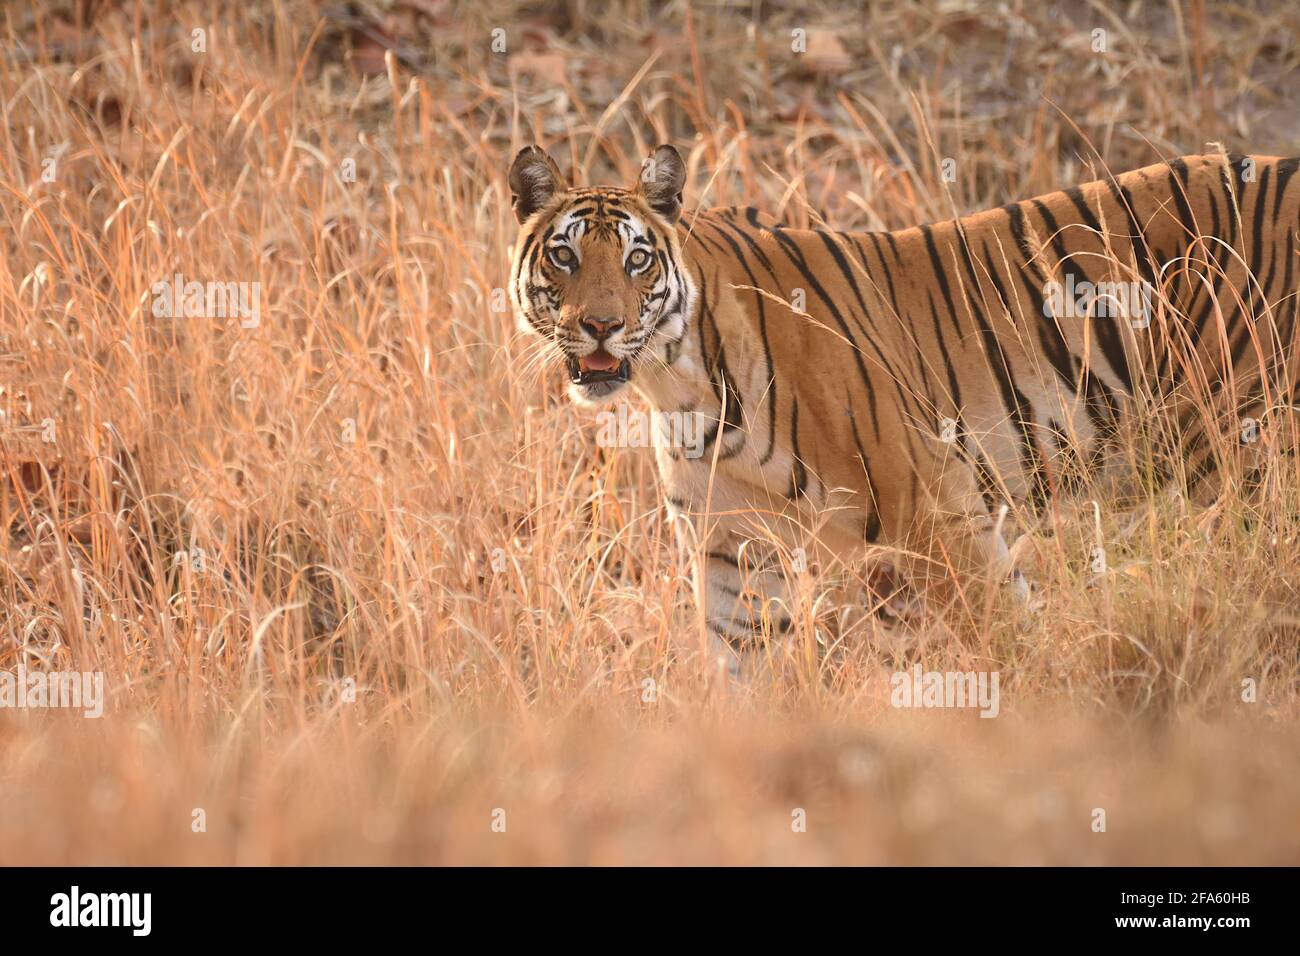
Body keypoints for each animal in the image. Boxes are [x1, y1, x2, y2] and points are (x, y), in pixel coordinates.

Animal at [507, 142, 1300, 651]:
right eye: (564, 256)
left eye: (637, 259)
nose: (600, 326)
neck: (679, 386)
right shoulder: (731, 551)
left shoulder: (935, 508)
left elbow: (1006, 643)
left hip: (1249, 446)